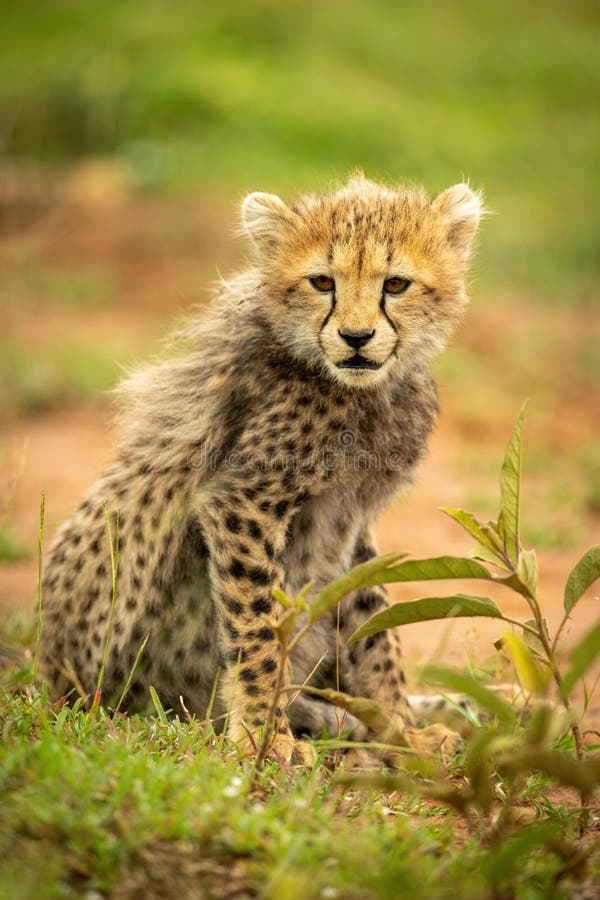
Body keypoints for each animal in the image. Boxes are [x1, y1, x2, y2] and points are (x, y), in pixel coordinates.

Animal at [40, 172, 482, 764]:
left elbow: (374, 622)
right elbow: (257, 625)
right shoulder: (243, 500)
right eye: (322, 282)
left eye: (396, 284)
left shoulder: (352, 519)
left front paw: (402, 730)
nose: (356, 338)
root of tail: (50, 670)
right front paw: (261, 737)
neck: (358, 391)